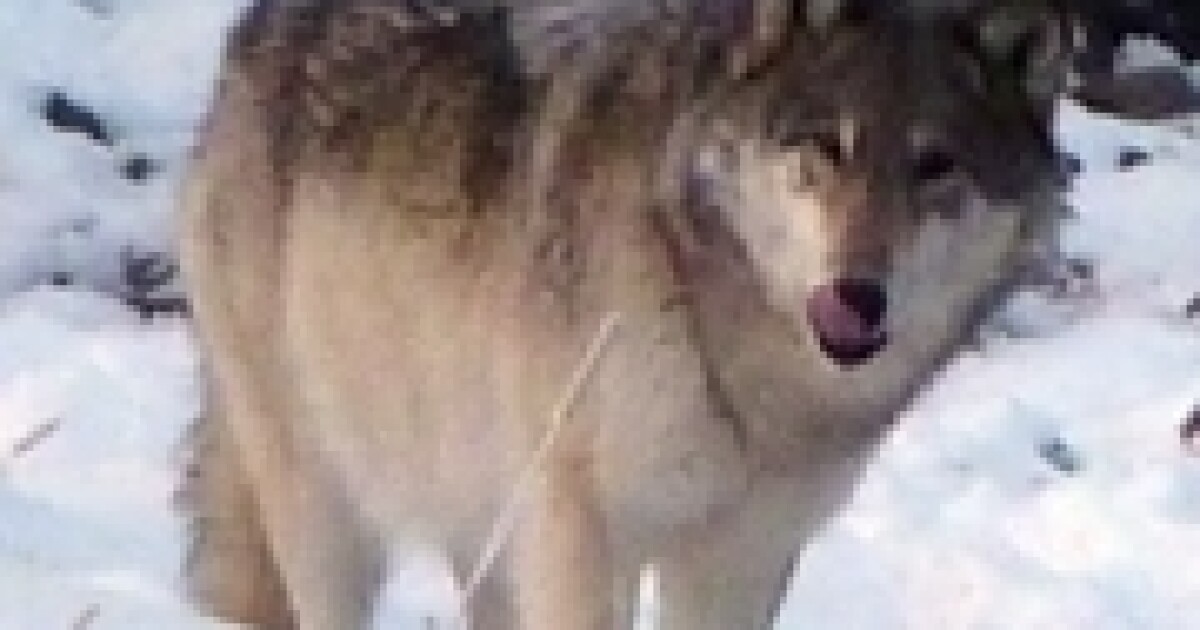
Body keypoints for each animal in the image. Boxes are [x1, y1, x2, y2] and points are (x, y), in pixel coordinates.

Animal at [178, 1, 1199, 628]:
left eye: (935, 165)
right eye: (824, 146)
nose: (856, 293)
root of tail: (252, 32)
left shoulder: (743, 555)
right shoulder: (584, 539)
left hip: (482, 508)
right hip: (329, 506)